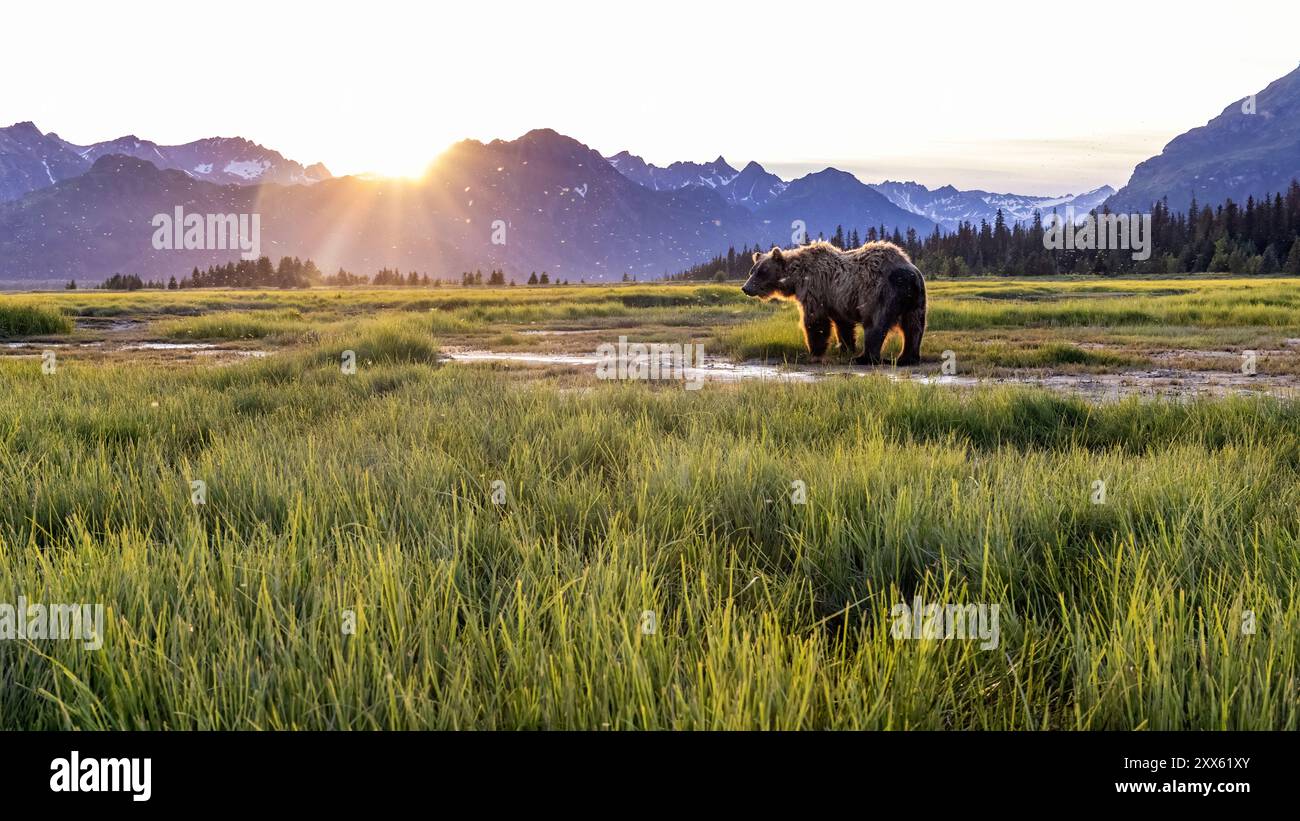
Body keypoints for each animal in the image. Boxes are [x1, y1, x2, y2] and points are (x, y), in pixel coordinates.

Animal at [740, 240, 926, 366]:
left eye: (762, 271)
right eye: (752, 270)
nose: (745, 288)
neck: (795, 279)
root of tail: (909, 273)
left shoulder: (815, 289)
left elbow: (815, 321)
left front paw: (814, 351)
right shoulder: (838, 300)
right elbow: (843, 325)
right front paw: (846, 347)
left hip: (880, 293)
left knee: (875, 325)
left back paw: (864, 357)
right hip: (916, 300)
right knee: (913, 327)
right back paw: (907, 357)